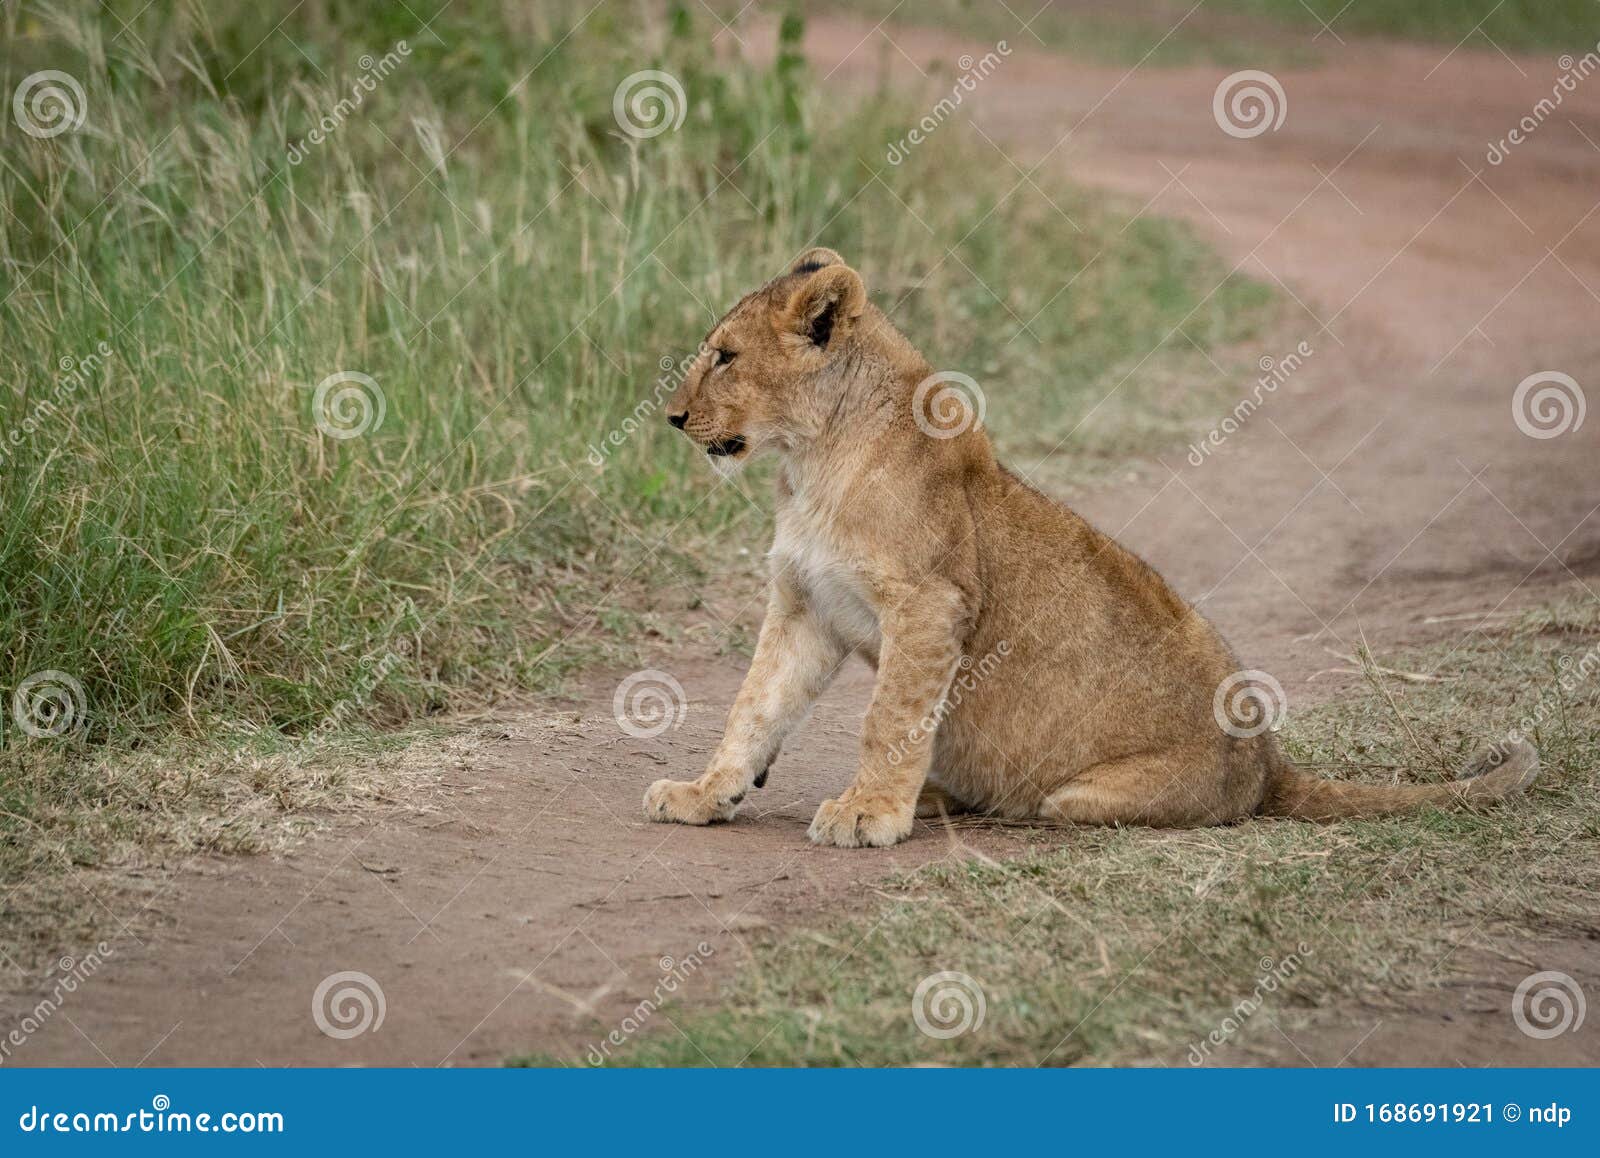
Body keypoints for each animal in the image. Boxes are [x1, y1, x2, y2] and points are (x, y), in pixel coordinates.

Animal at [643, 248, 1540, 847]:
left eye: (725, 356)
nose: (673, 419)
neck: (810, 460)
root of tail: (1271, 764)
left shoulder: (929, 602)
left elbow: (889, 717)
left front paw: (869, 813)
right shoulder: (806, 604)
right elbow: (753, 708)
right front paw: (704, 794)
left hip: (1083, 796)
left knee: (1049, 802)